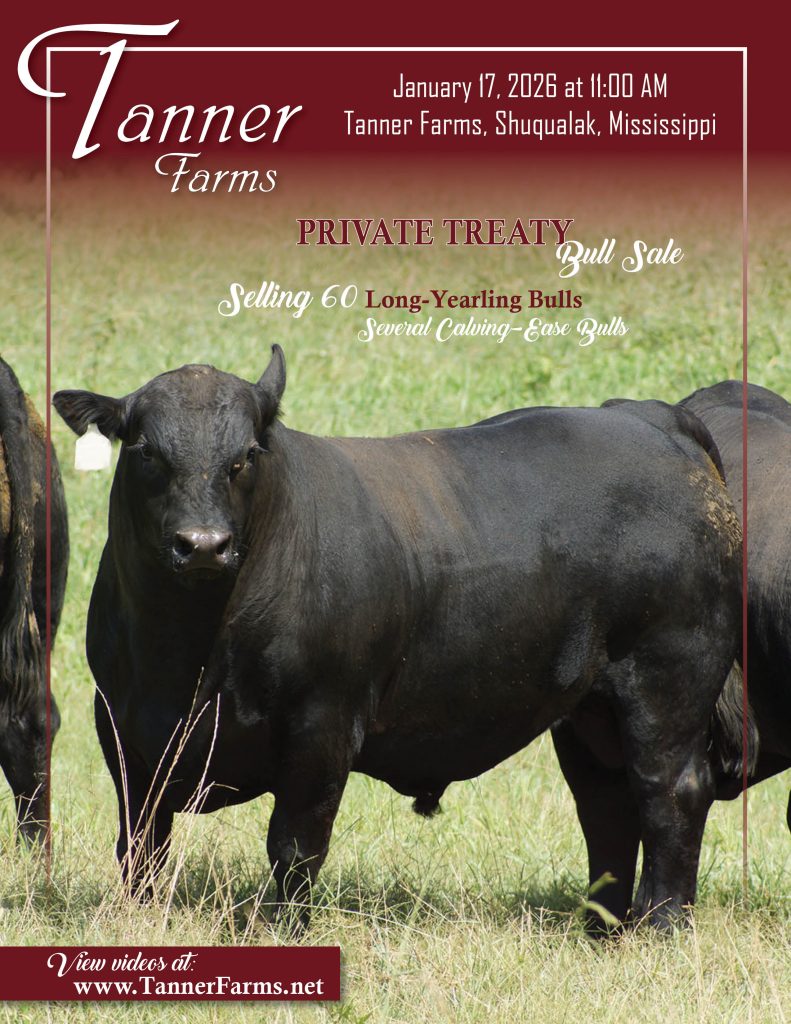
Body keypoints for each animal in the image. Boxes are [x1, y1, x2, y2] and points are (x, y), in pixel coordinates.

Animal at [53, 346, 743, 932]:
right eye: (146, 450)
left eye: (245, 455)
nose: (202, 545)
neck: (190, 655)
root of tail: (649, 417)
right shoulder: (120, 726)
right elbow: (141, 841)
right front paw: (139, 918)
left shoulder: (322, 725)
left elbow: (295, 844)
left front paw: (284, 928)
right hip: (590, 710)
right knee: (606, 803)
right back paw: (600, 926)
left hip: (668, 679)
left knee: (670, 791)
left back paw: (660, 924)